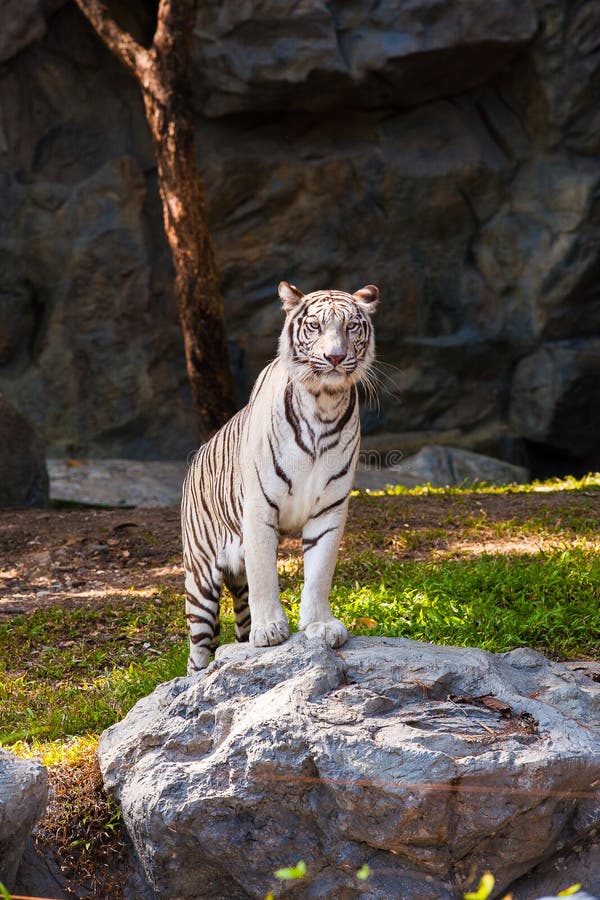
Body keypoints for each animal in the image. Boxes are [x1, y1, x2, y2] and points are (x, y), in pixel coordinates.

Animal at [181, 280, 379, 673]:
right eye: (315, 326)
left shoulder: (330, 509)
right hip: (200, 580)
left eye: (351, 326)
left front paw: (320, 625)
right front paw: (271, 630)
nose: (335, 357)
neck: (323, 404)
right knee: (198, 649)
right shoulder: (260, 507)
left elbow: (319, 573)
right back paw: (197, 675)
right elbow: (264, 577)